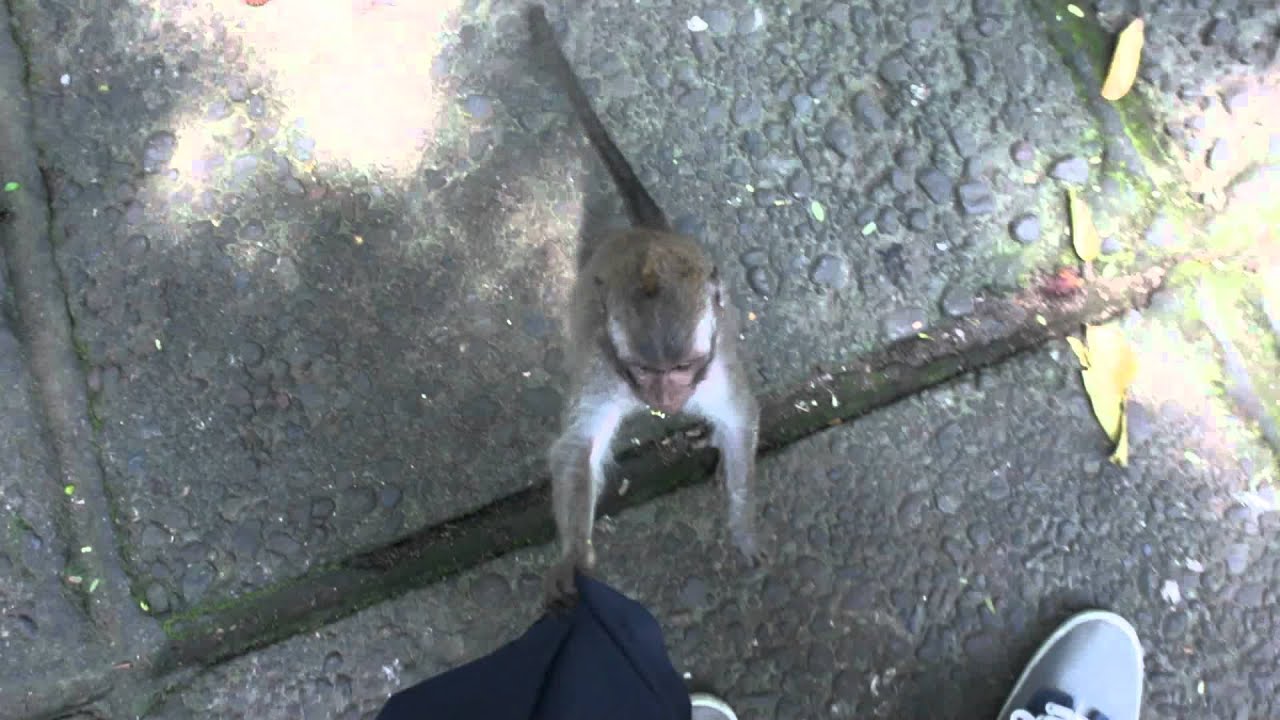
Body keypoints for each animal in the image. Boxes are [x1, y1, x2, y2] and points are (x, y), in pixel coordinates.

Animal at [527, 4, 764, 609]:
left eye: (681, 367)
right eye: (643, 371)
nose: (665, 400)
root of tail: (647, 234)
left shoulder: (716, 363)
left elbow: (740, 418)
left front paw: (741, 522)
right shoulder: (603, 367)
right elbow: (578, 446)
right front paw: (573, 555)